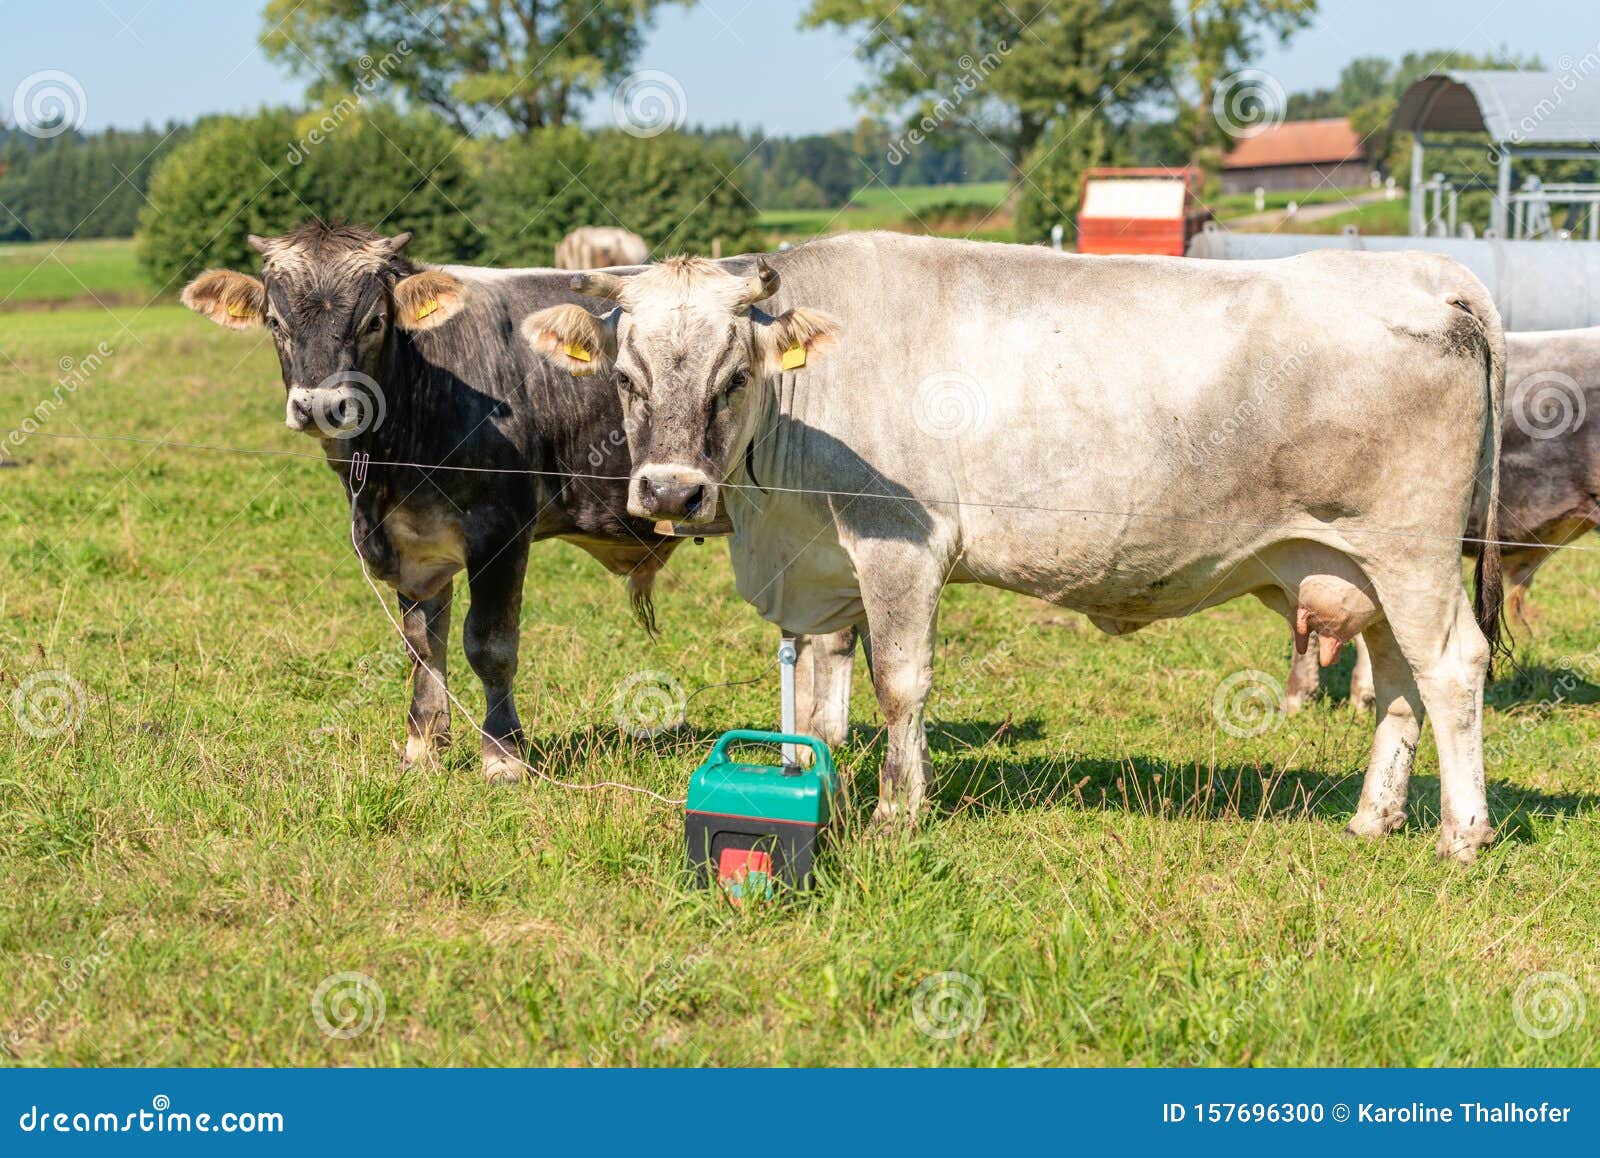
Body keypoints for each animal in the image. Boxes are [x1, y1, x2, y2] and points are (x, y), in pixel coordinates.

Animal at [180, 221, 687, 783]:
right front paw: (423, 745)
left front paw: (504, 754)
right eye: (274, 320)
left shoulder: (500, 529)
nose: (320, 406)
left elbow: (490, 644)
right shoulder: (414, 544)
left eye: (375, 321)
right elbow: (422, 645)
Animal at [517, 231, 1507, 862]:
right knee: (1401, 682)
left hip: (1412, 552)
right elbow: (825, 697)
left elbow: (899, 682)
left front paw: (898, 811)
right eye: (624, 376)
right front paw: (819, 784)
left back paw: (1462, 835)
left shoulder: (901, 549)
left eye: (732, 377)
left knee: (1452, 665)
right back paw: (1375, 819)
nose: (670, 491)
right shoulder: (826, 565)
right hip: (1357, 565)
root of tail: (1424, 269)